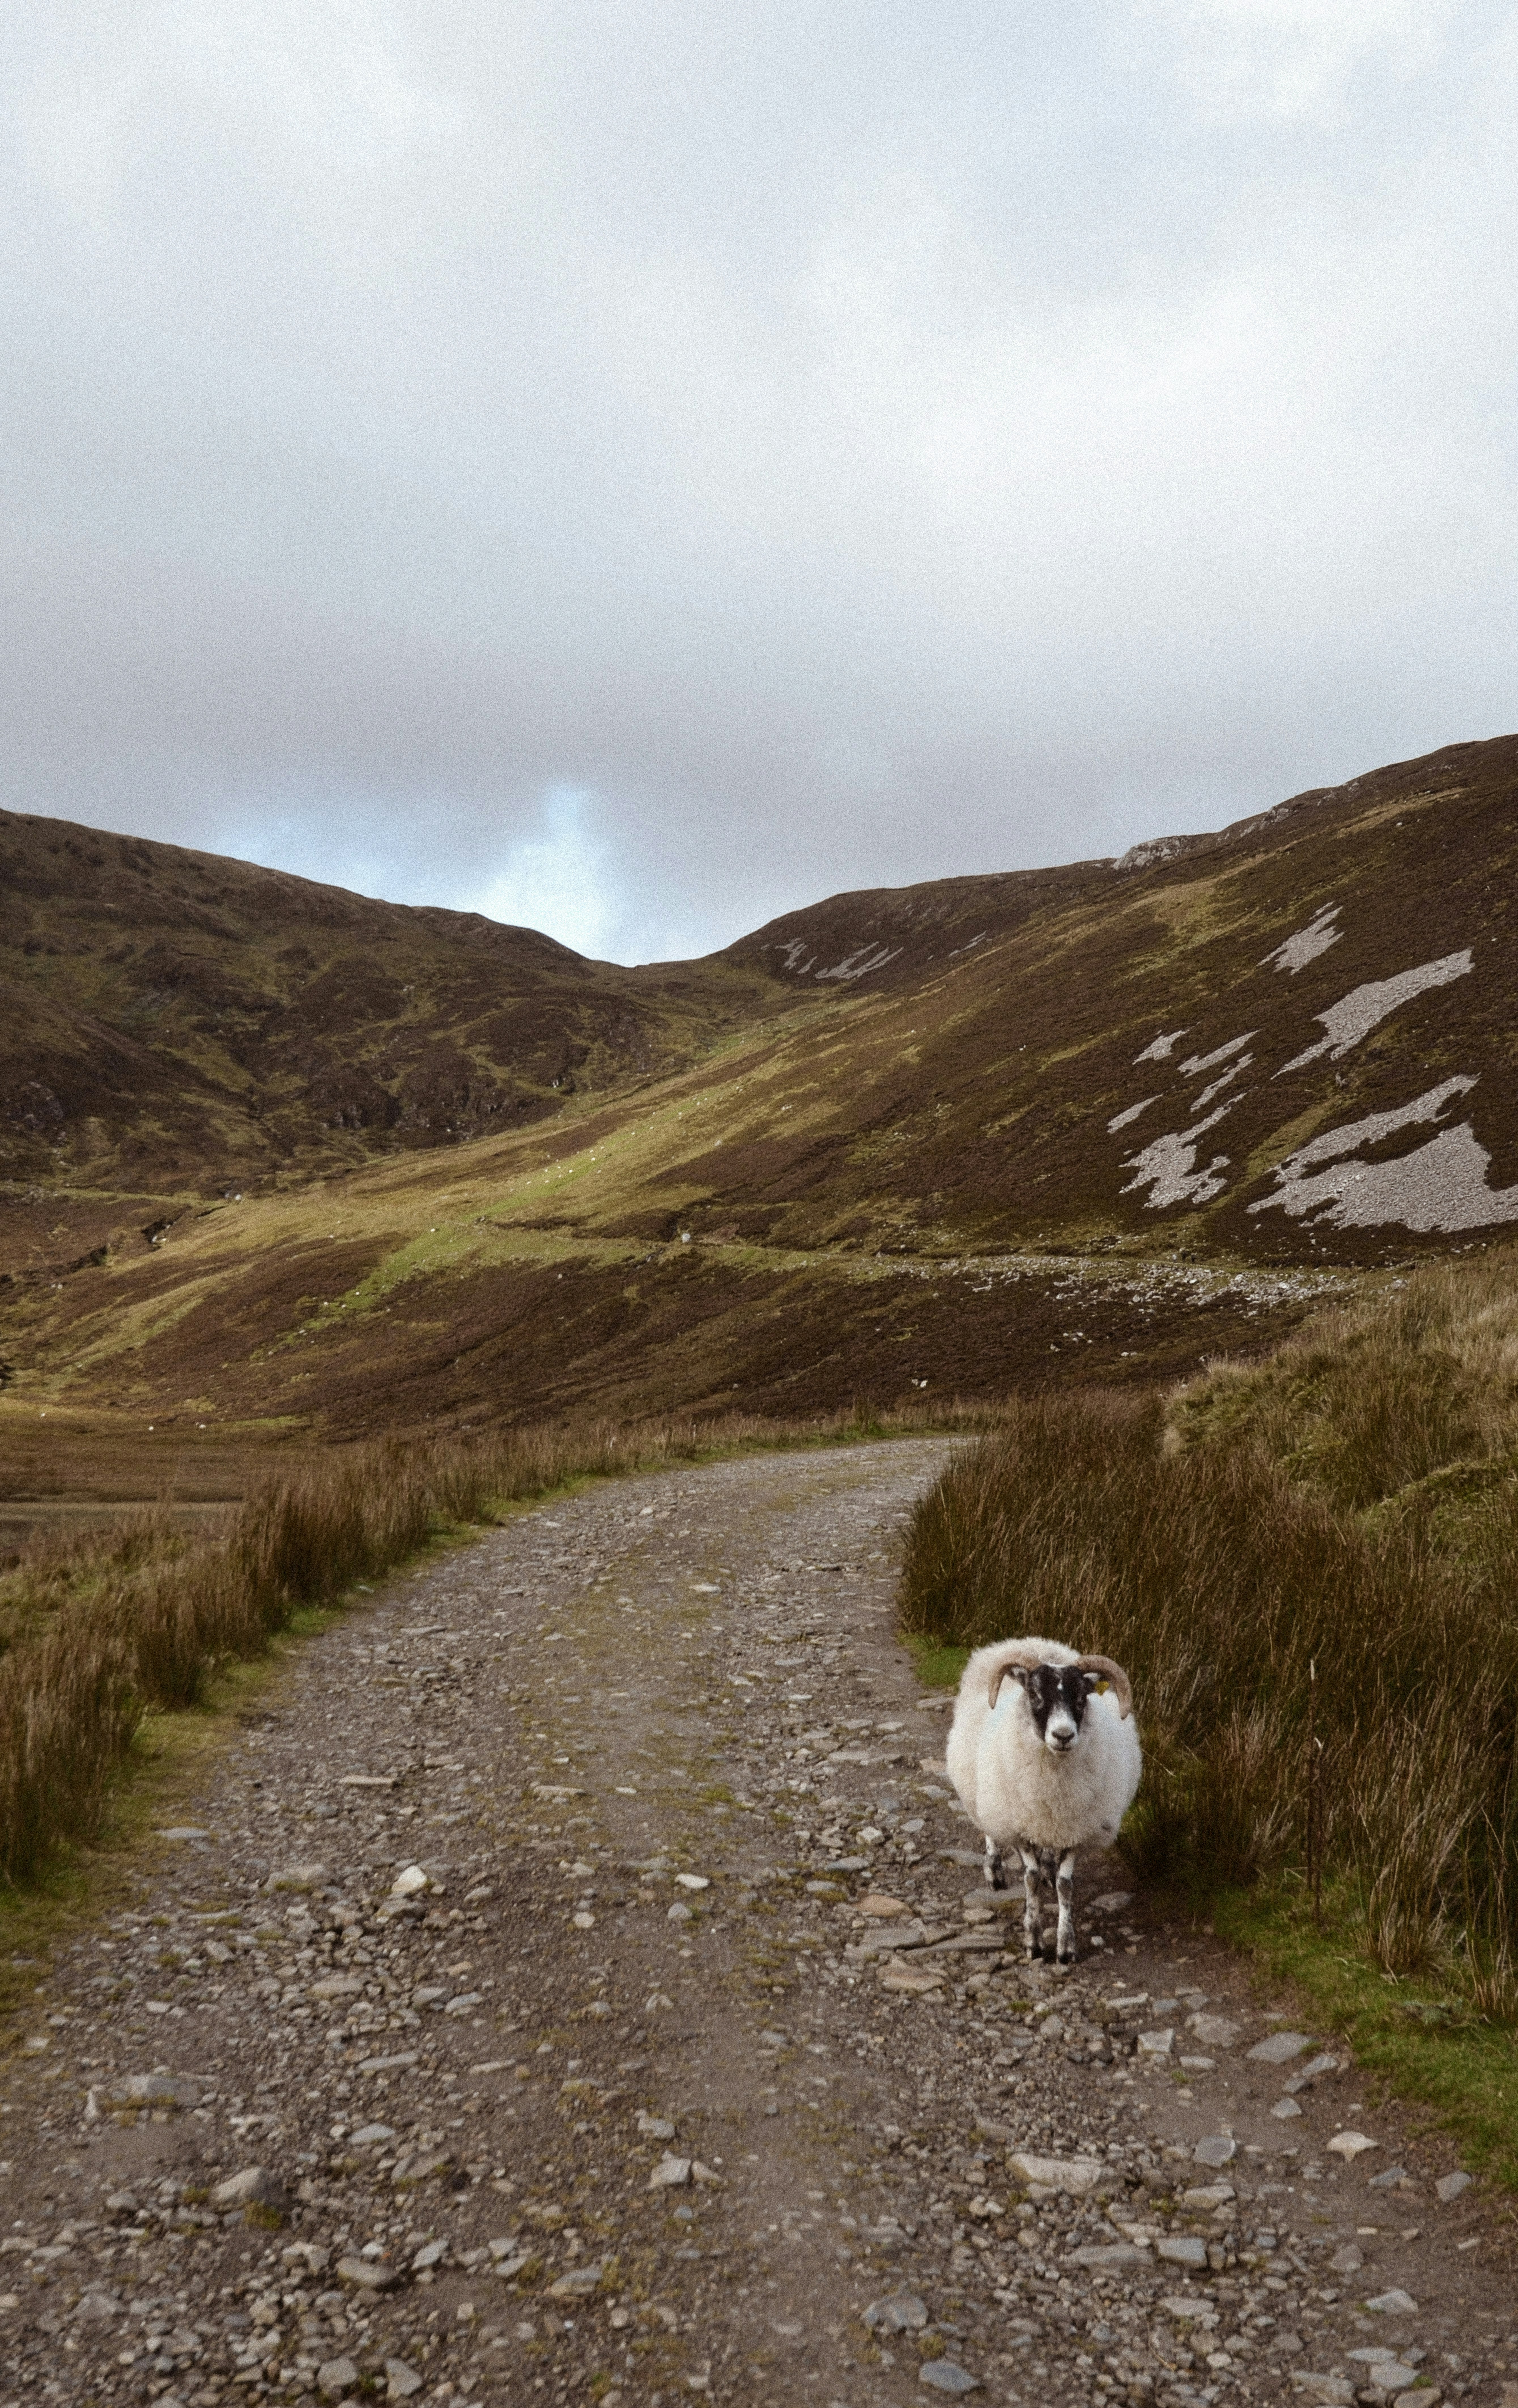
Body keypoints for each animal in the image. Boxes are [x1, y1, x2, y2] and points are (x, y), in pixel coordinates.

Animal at [945, 1635, 1140, 1965]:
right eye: (1035, 1695)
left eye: (1081, 1699)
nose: (1063, 1736)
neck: (1054, 1788)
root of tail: (1031, 1642)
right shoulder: (1021, 1828)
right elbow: (1031, 1879)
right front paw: (1033, 1942)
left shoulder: (1076, 1830)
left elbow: (1065, 1885)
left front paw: (1066, 1947)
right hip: (985, 1795)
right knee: (990, 1830)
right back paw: (994, 1870)